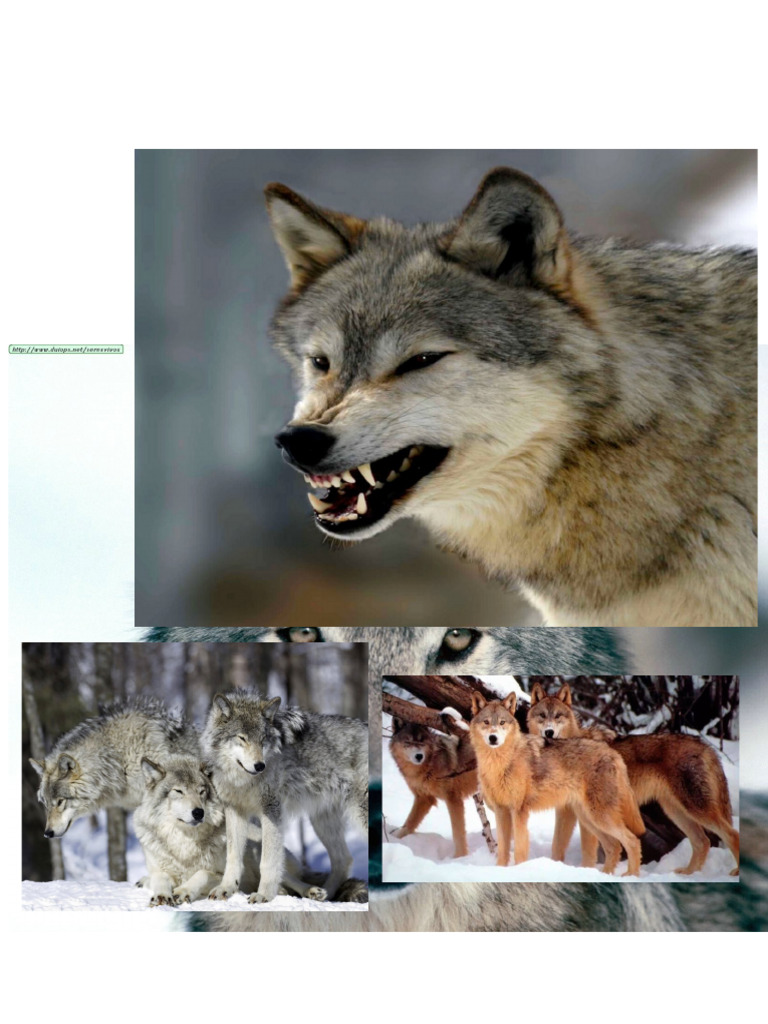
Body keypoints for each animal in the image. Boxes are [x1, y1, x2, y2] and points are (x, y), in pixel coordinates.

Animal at [133, 754, 328, 906]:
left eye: (202, 791)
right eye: (178, 791)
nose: (198, 812)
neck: (185, 844)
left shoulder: (222, 875)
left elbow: (202, 873)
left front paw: (182, 891)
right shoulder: (158, 870)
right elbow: (159, 878)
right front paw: (161, 895)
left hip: (259, 856)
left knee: (290, 880)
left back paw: (313, 891)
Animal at [201, 691, 368, 903]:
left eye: (263, 739)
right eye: (242, 738)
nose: (260, 766)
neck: (243, 781)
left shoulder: (272, 811)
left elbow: (268, 861)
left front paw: (264, 895)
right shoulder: (235, 811)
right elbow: (233, 856)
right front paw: (227, 888)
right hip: (322, 822)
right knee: (344, 860)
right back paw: (325, 895)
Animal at [388, 717, 477, 857]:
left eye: (422, 741)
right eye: (408, 742)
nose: (419, 756)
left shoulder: (453, 800)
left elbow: (458, 833)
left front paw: (459, 857)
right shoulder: (424, 798)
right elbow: (409, 822)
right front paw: (394, 838)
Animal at [469, 690, 645, 874]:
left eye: (502, 722)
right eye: (486, 722)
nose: (493, 737)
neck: (500, 764)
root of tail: (612, 752)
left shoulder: (519, 812)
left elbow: (519, 850)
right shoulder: (501, 811)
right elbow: (503, 851)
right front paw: (500, 871)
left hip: (599, 816)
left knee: (632, 841)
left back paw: (630, 875)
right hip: (588, 818)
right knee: (614, 846)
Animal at [527, 682, 739, 875]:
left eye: (558, 716)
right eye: (542, 716)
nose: (549, 732)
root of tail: (705, 746)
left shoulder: (581, 816)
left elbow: (588, 850)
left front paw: (586, 871)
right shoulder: (567, 811)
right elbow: (557, 846)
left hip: (695, 810)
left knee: (730, 834)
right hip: (675, 811)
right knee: (703, 842)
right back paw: (688, 874)